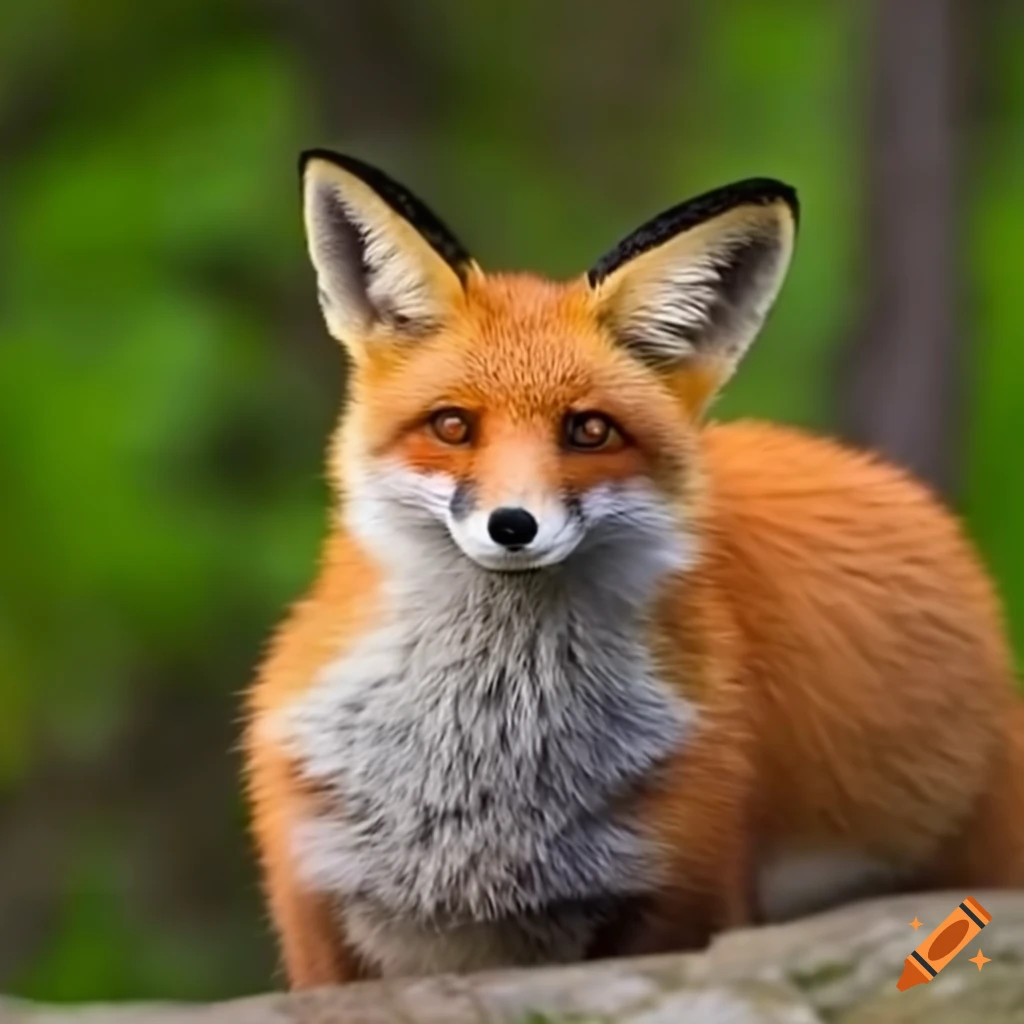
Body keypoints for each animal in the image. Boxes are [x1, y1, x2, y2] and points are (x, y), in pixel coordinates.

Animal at [244, 149, 1024, 989]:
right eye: (452, 426)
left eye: (589, 431)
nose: (512, 526)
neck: (486, 779)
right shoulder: (315, 904)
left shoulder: (685, 886)